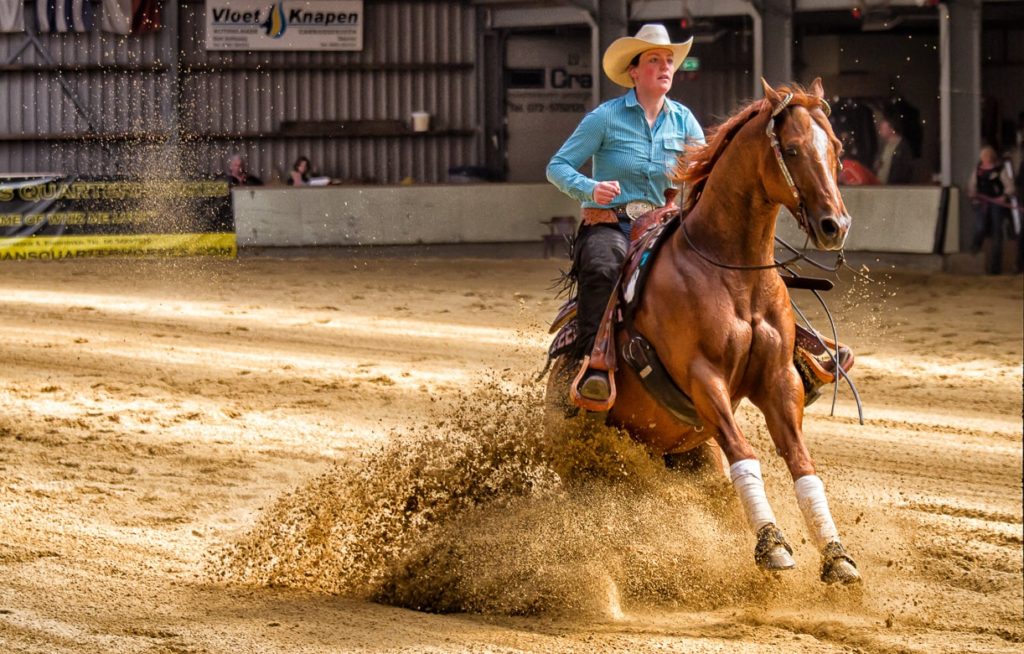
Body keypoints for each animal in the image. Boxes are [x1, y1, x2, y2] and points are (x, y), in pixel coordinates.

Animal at [546, 78, 861, 585]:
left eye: (835, 147)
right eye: (792, 149)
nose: (835, 225)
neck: (731, 270)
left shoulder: (779, 381)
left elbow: (801, 463)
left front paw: (836, 554)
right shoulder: (703, 377)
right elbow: (743, 451)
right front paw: (772, 545)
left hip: (685, 457)